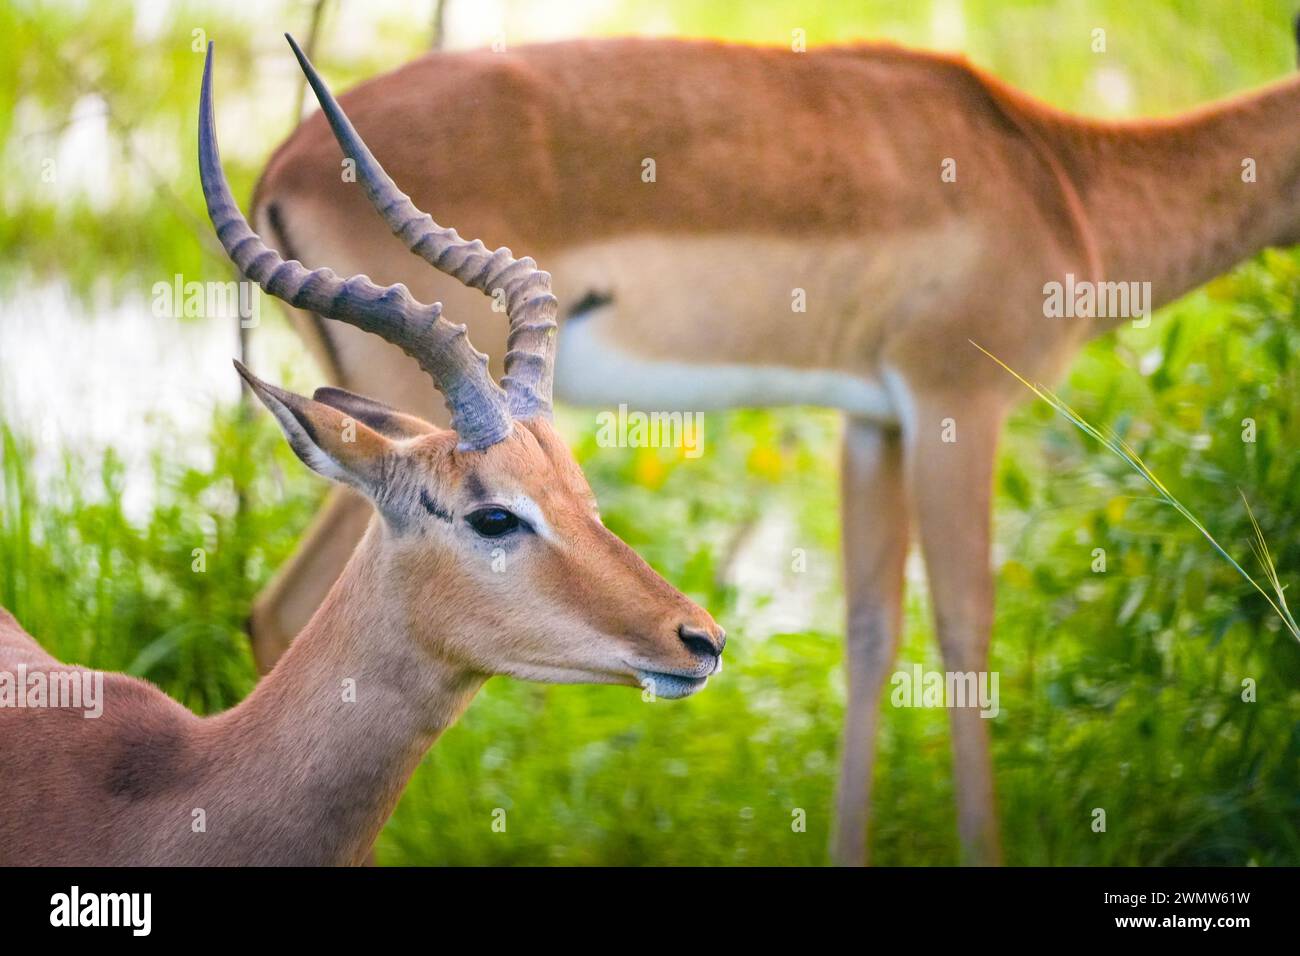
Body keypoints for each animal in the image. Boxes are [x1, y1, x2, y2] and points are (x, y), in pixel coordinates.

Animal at [247, 32, 1300, 866]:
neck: (1057, 180)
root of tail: (277, 164)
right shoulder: (958, 404)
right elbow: (965, 627)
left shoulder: (877, 421)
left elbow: (871, 634)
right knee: (286, 607)